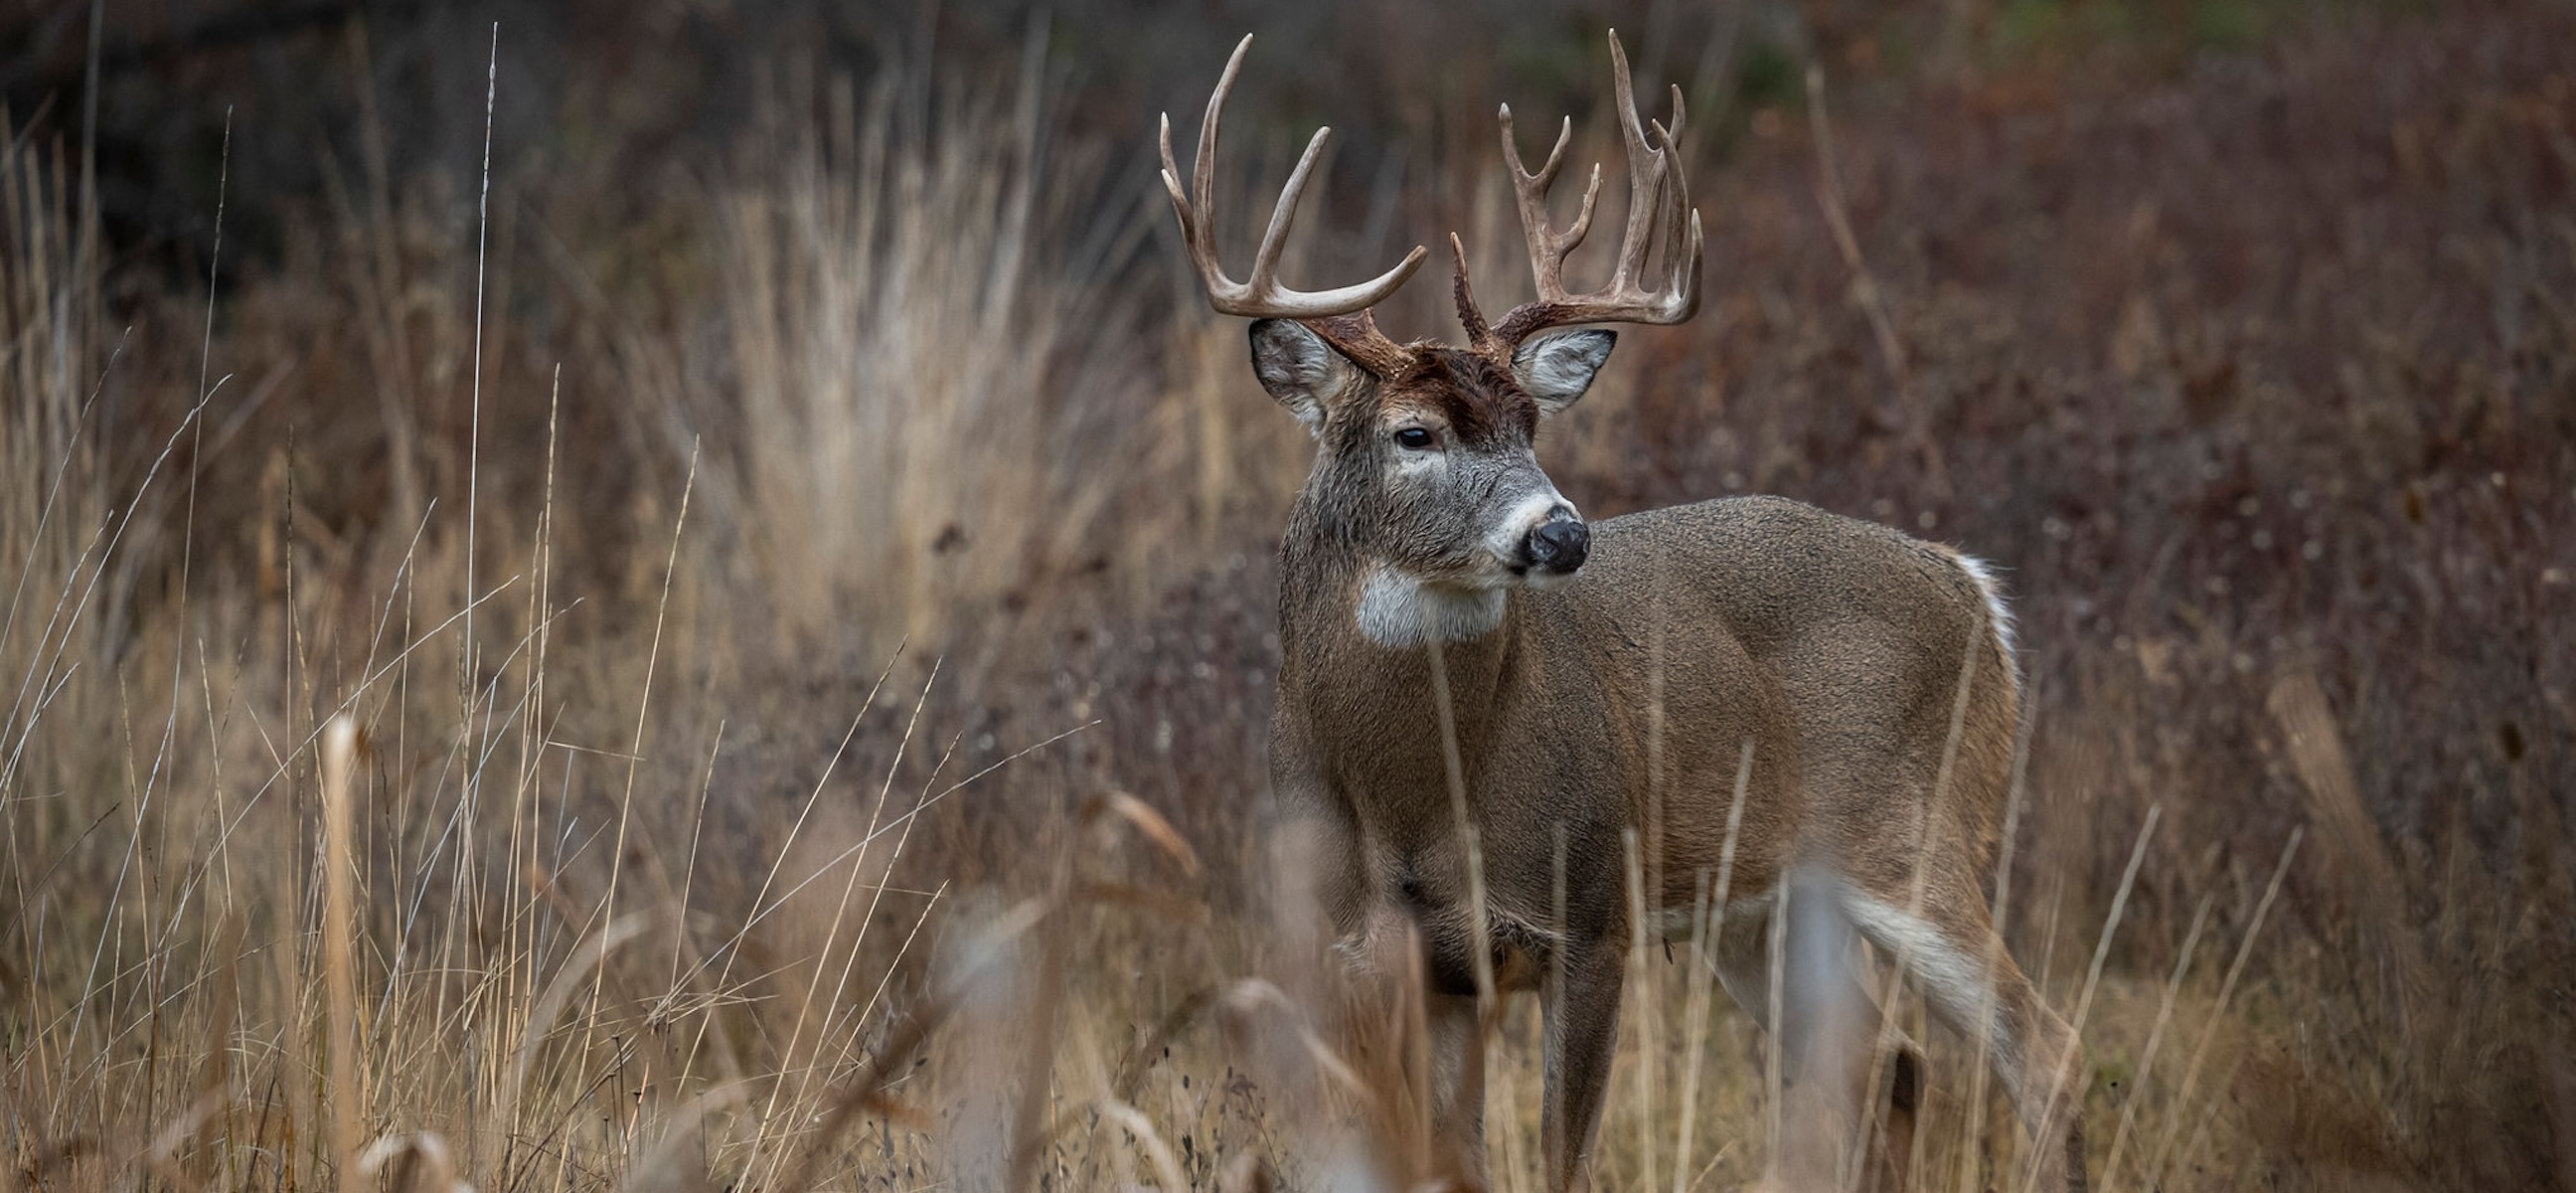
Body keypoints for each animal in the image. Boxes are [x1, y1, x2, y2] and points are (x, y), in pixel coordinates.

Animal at [1158, 31, 2090, 1193]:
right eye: (1416, 433)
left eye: (1531, 423)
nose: (1561, 534)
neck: (1420, 803)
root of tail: (1973, 584)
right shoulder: (1391, 962)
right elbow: (1450, 1160)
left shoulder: (1593, 913)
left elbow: (1564, 1159)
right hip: (1768, 901)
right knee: (1893, 1066)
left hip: (1919, 826)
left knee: (2045, 1051)